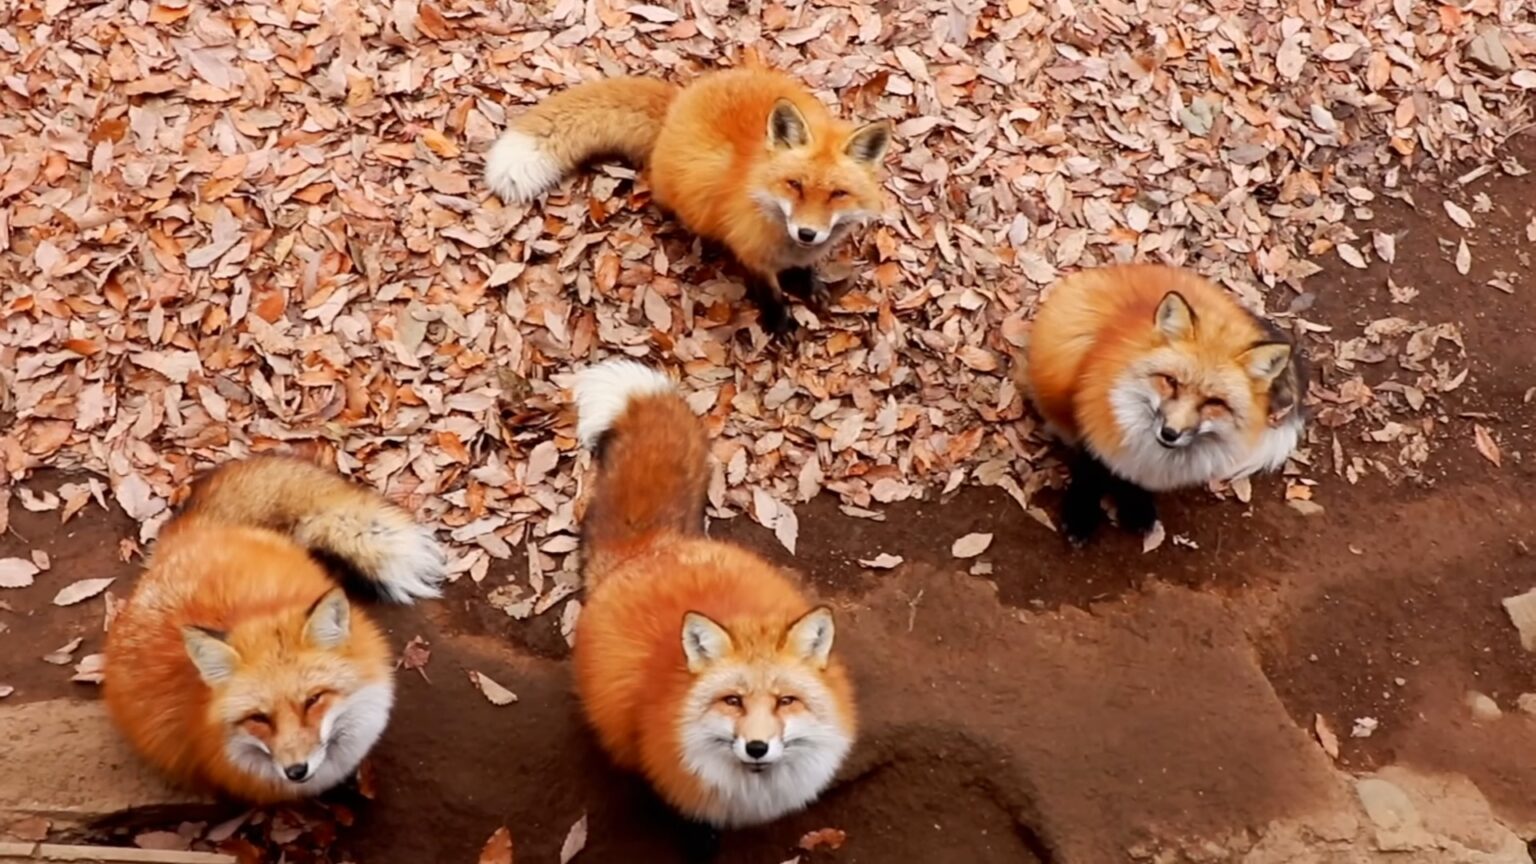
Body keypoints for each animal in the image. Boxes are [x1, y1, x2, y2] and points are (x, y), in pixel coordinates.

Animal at [483, 65, 893, 337]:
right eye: (794, 185)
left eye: (837, 194)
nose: (807, 233)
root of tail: (679, 101)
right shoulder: (752, 255)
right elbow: (769, 292)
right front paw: (779, 321)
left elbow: (805, 271)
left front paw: (809, 284)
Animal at [1023, 263, 1306, 546]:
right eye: (1171, 381)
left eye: (1214, 402)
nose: (1170, 433)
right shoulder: (1090, 418)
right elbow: (1090, 471)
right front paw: (1080, 515)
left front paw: (1134, 504)